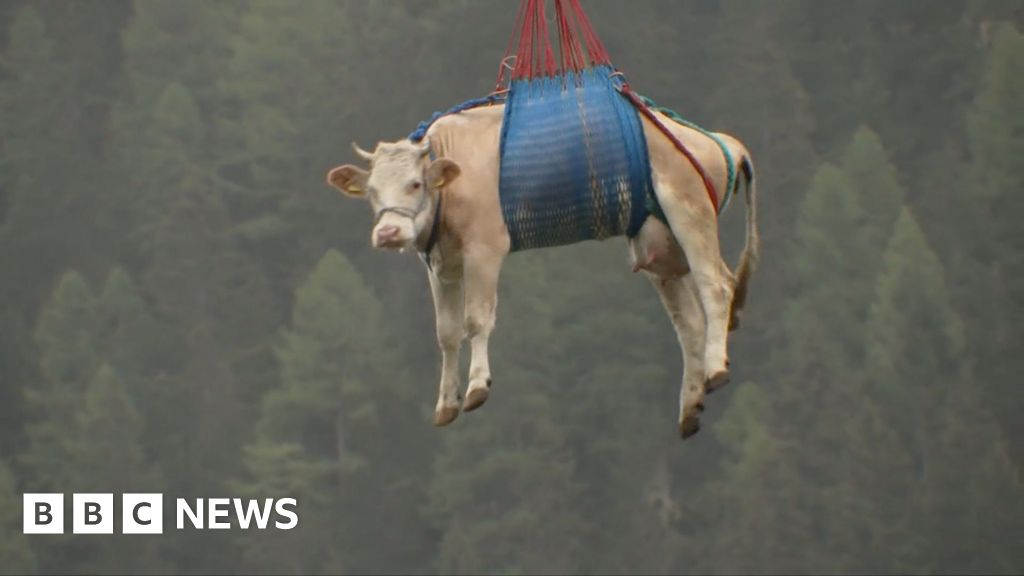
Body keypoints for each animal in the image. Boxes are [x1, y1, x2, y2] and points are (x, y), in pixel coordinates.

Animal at [326, 103, 759, 439]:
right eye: (371, 192)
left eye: (415, 184)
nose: (388, 232)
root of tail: (716, 139)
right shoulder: (441, 266)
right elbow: (446, 334)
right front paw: (446, 402)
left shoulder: (485, 248)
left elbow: (476, 320)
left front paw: (477, 385)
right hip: (658, 247)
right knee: (689, 325)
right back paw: (691, 403)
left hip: (689, 210)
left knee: (717, 286)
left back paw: (716, 369)